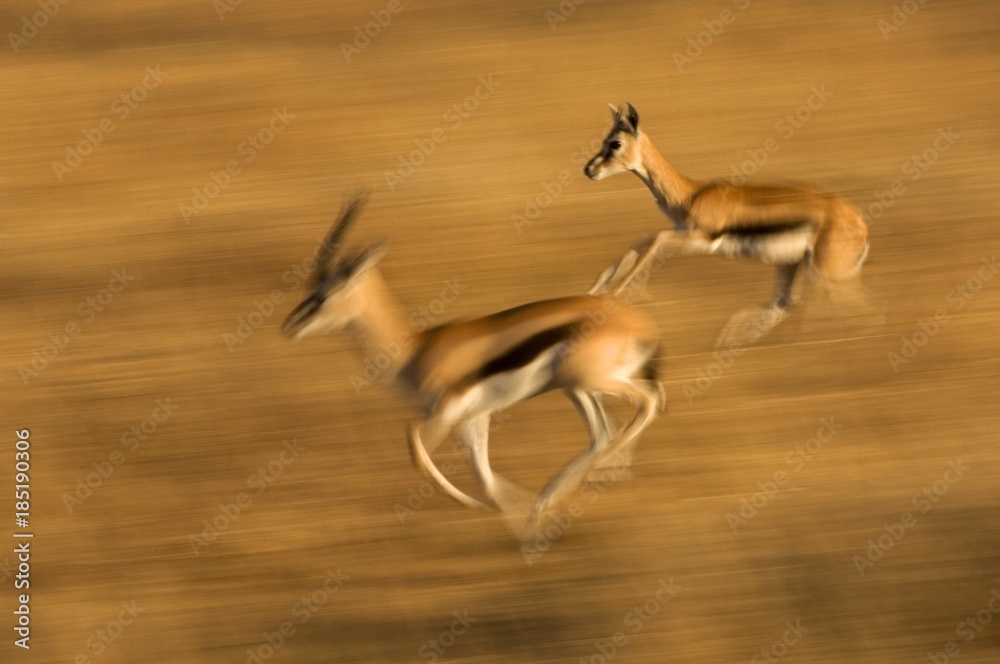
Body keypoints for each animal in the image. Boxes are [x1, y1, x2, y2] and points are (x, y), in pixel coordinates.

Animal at [282, 193, 664, 538]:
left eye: (325, 294)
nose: (290, 325)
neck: (415, 349)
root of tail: (640, 325)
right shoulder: (475, 417)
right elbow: (484, 477)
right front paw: (524, 527)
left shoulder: (446, 410)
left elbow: (414, 445)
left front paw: (483, 508)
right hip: (577, 388)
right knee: (605, 432)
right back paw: (549, 501)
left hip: (589, 381)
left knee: (647, 403)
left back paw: (568, 490)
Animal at [584, 102, 871, 347]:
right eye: (604, 140)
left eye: (615, 143)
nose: (589, 170)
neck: (692, 195)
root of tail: (861, 225)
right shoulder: (683, 233)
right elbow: (642, 240)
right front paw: (596, 290)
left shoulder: (701, 240)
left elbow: (655, 240)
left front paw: (615, 295)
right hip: (792, 265)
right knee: (785, 304)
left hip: (828, 275)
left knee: (862, 307)